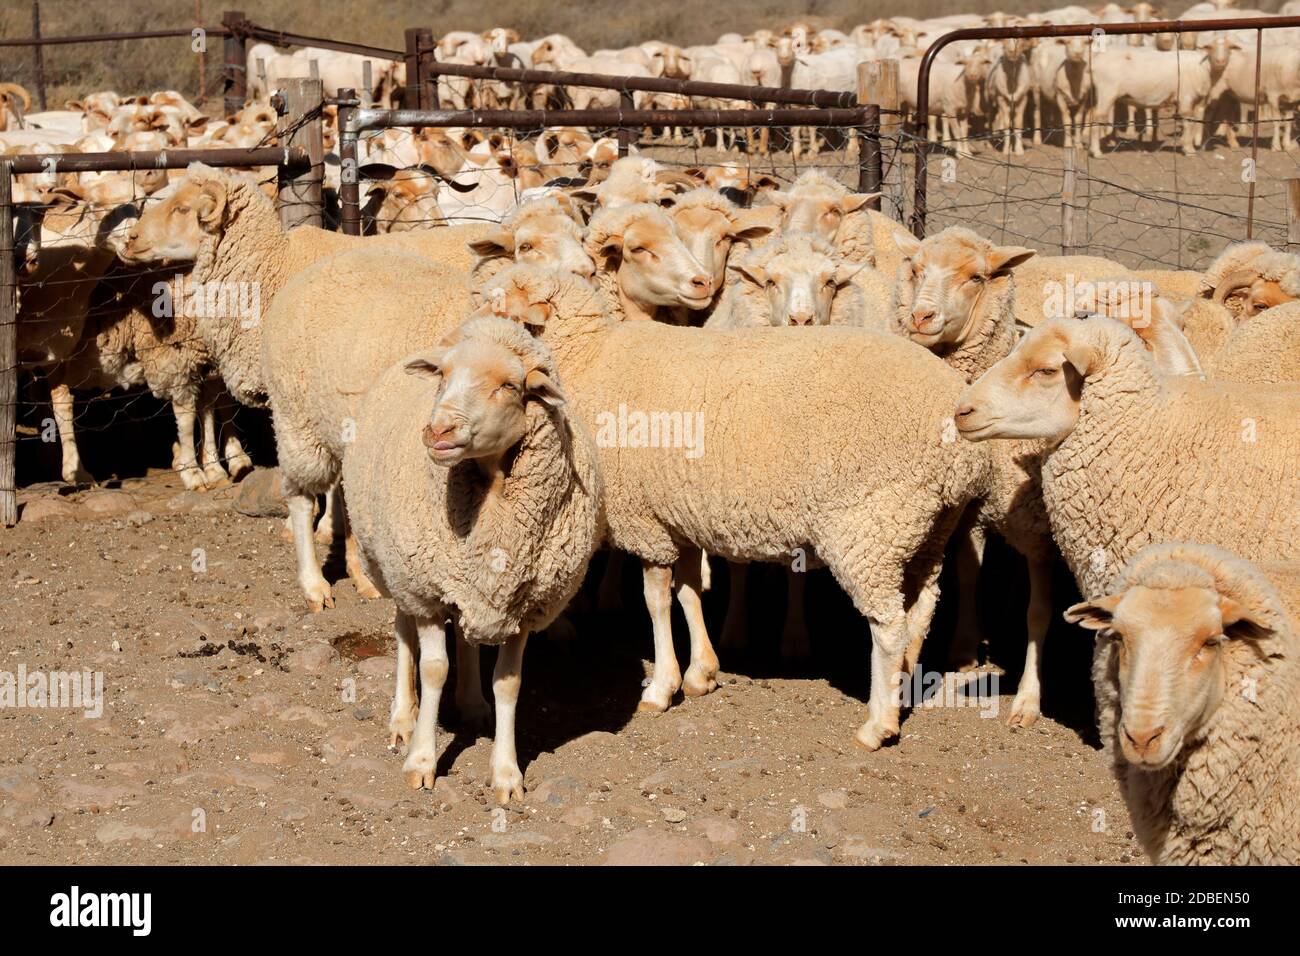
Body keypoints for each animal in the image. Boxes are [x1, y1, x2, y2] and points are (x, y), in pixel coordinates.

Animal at [343, 316, 602, 802]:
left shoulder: (524, 606)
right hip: (394, 568)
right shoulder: (425, 590)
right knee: (403, 634)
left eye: (508, 385)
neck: (492, 489)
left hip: (464, 585)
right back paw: (403, 717)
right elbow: (433, 669)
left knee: (465, 637)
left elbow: (509, 683)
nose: (439, 431)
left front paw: (506, 772)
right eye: (443, 375)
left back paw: (471, 703)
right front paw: (422, 760)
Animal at [476, 264, 991, 750]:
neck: (588, 358)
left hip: (868, 528)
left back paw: (877, 724)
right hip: (924, 526)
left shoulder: (643, 517)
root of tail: (959, 441)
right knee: (921, 608)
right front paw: (701, 673)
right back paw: (903, 685)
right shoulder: (678, 514)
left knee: (887, 625)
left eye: (498, 304)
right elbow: (687, 592)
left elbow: (656, 600)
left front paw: (661, 687)